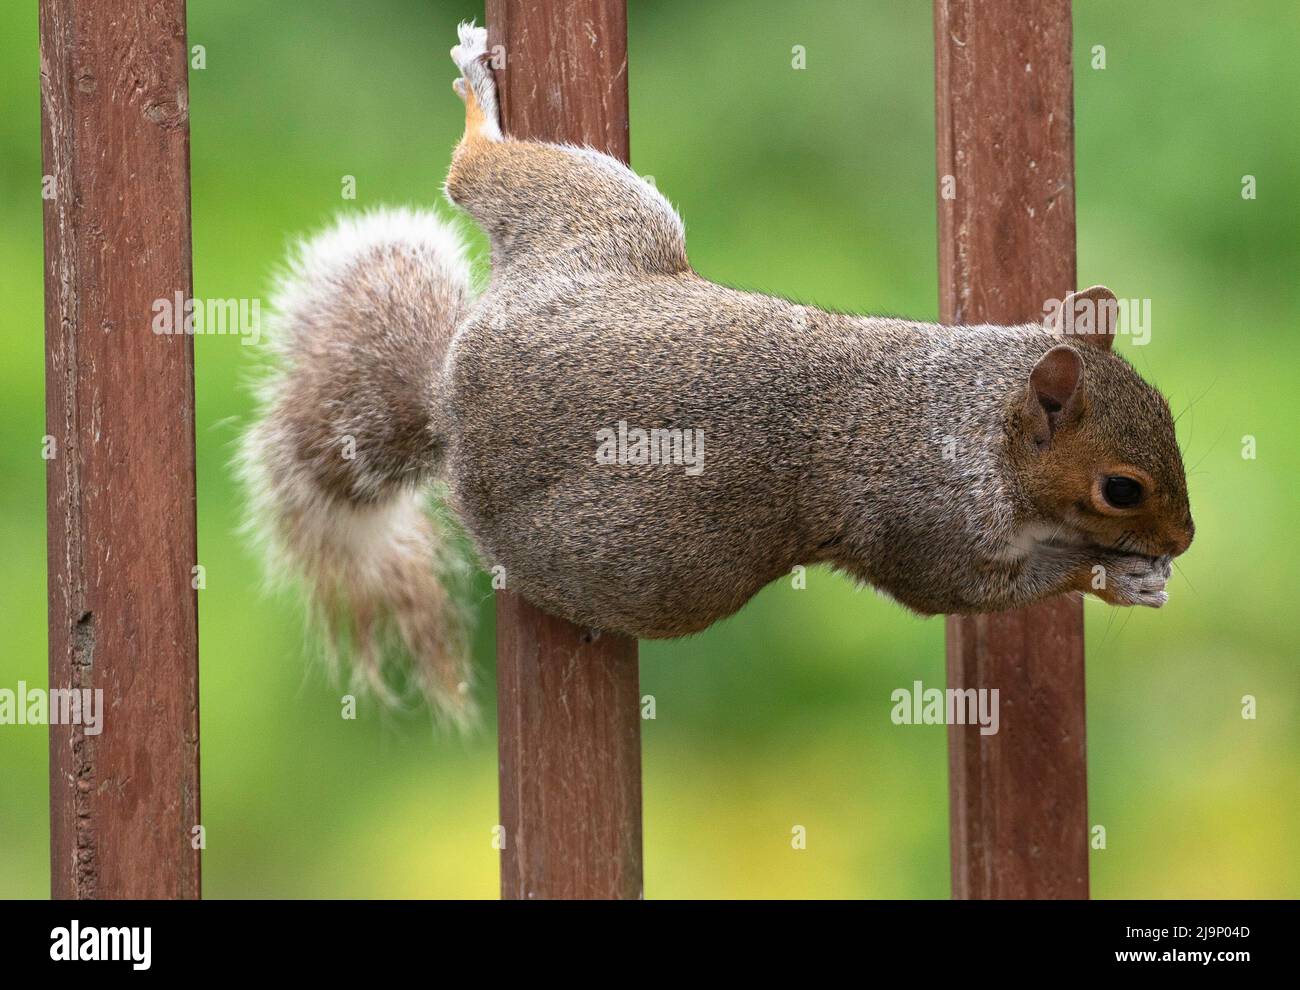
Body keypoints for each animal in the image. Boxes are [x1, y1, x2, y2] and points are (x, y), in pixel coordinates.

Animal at [240, 23, 1194, 723]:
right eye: (1121, 489)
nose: (1182, 540)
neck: (974, 418)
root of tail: (451, 391)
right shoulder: (928, 527)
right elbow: (972, 589)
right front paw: (1111, 577)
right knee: (468, 167)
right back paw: (478, 89)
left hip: (595, 228)